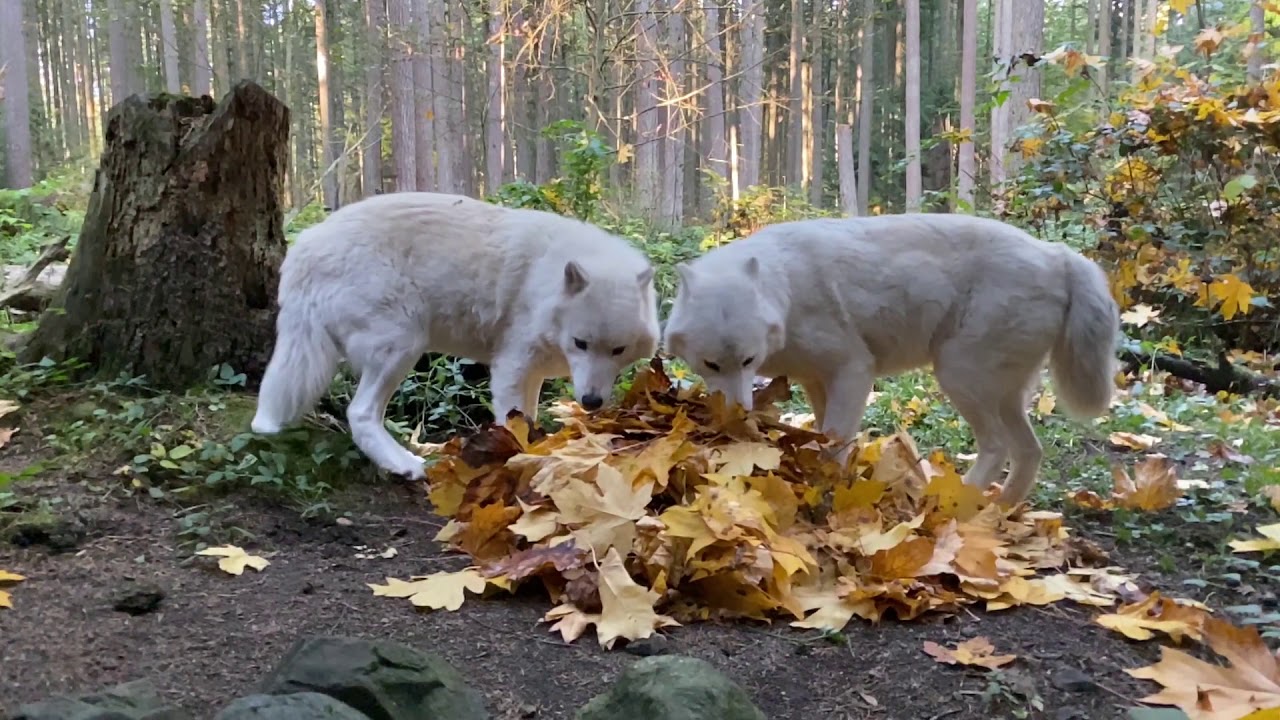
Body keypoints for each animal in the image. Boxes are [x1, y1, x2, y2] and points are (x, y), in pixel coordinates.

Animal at [250, 191, 661, 480]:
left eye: (617, 350)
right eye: (580, 343)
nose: (591, 402)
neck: (544, 281)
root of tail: (303, 248)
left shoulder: (535, 373)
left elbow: (530, 421)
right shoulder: (512, 367)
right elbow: (514, 421)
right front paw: (521, 458)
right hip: (402, 345)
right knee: (360, 413)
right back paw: (405, 465)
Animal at [661, 213, 1120, 506]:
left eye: (749, 360)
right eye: (712, 365)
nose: (738, 414)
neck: (786, 289)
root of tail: (1060, 255)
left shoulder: (853, 370)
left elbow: (835, 439)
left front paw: (828, 487)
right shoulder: (817, 381)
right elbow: (827, 435)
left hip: (957, 376)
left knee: (996, 446)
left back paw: (950, 500)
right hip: (1002, 394)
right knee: (1029, 451)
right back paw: (1000, 512)